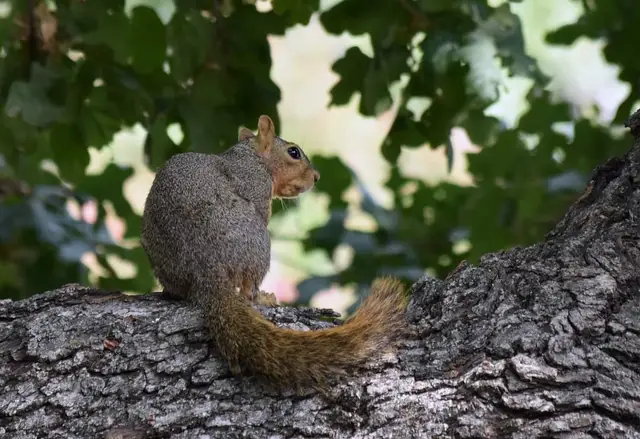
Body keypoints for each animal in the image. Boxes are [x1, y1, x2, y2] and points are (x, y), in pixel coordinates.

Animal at [140, 115, 407, 391]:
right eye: (294, 152)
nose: (316, 177)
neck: (252, 156)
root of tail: (206, 274)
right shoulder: (256, 184)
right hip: (260, 248)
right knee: (248, 293)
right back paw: (263, 298)